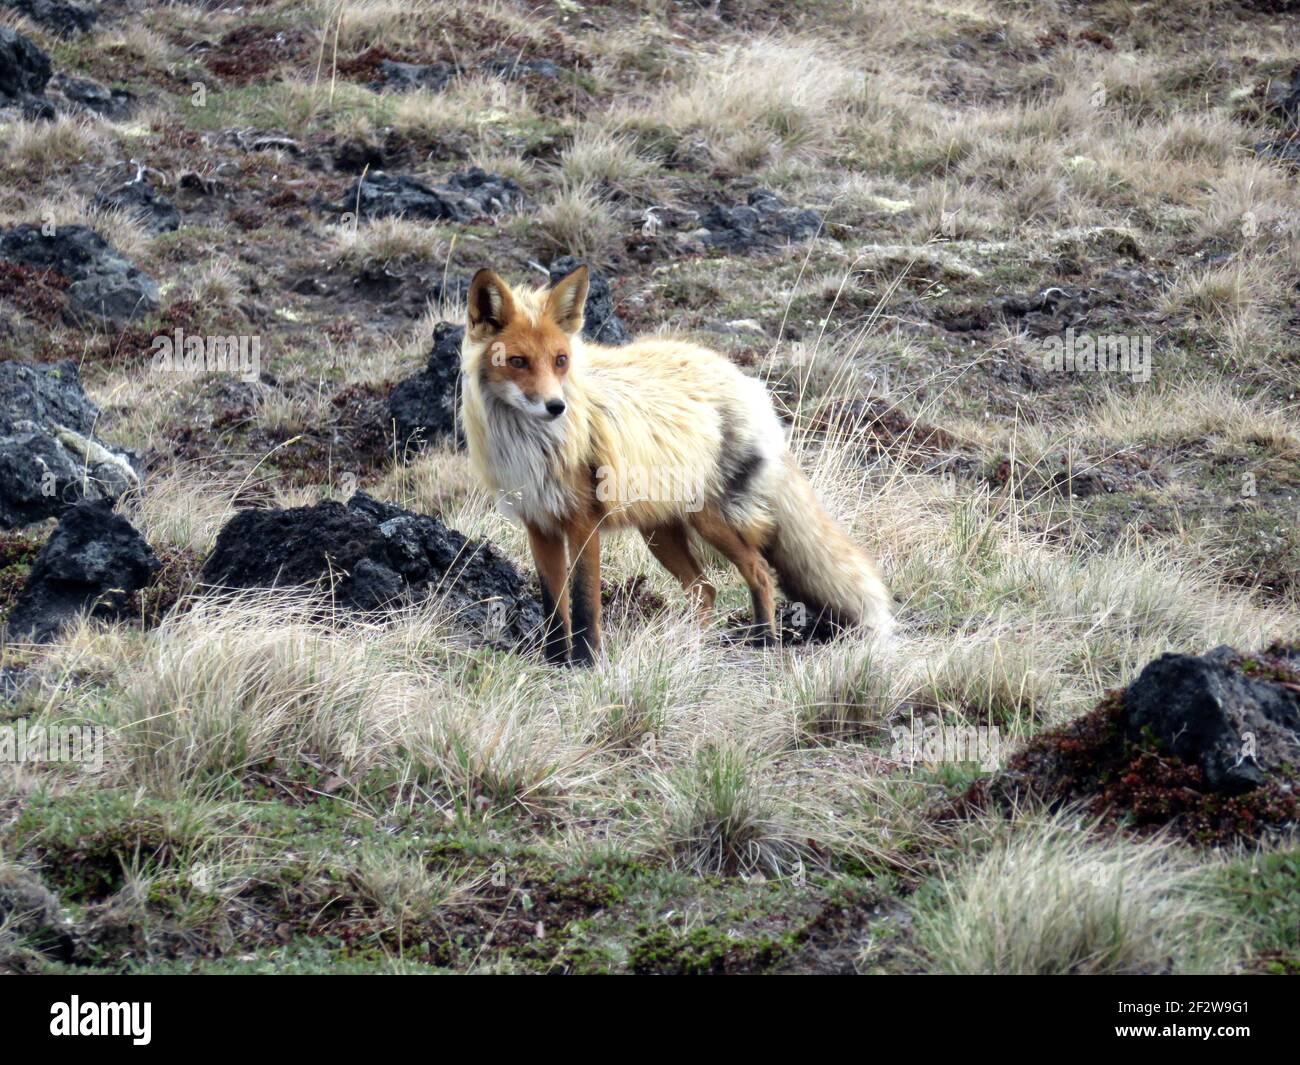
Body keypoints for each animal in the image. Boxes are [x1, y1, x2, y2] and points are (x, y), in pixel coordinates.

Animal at [459, 263, 894, 665]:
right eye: (518, 361)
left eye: (561, 360)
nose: (556, 406)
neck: (532, 447)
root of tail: (744, 380)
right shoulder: (540, 525)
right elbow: (554, 606)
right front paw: (553, 664)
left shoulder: (583, 522)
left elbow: (584, 603)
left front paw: (585, 663)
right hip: (659, 533)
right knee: (705, 590)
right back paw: (695, 649)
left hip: (713, 521)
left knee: (758, 571)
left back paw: (764, 640)